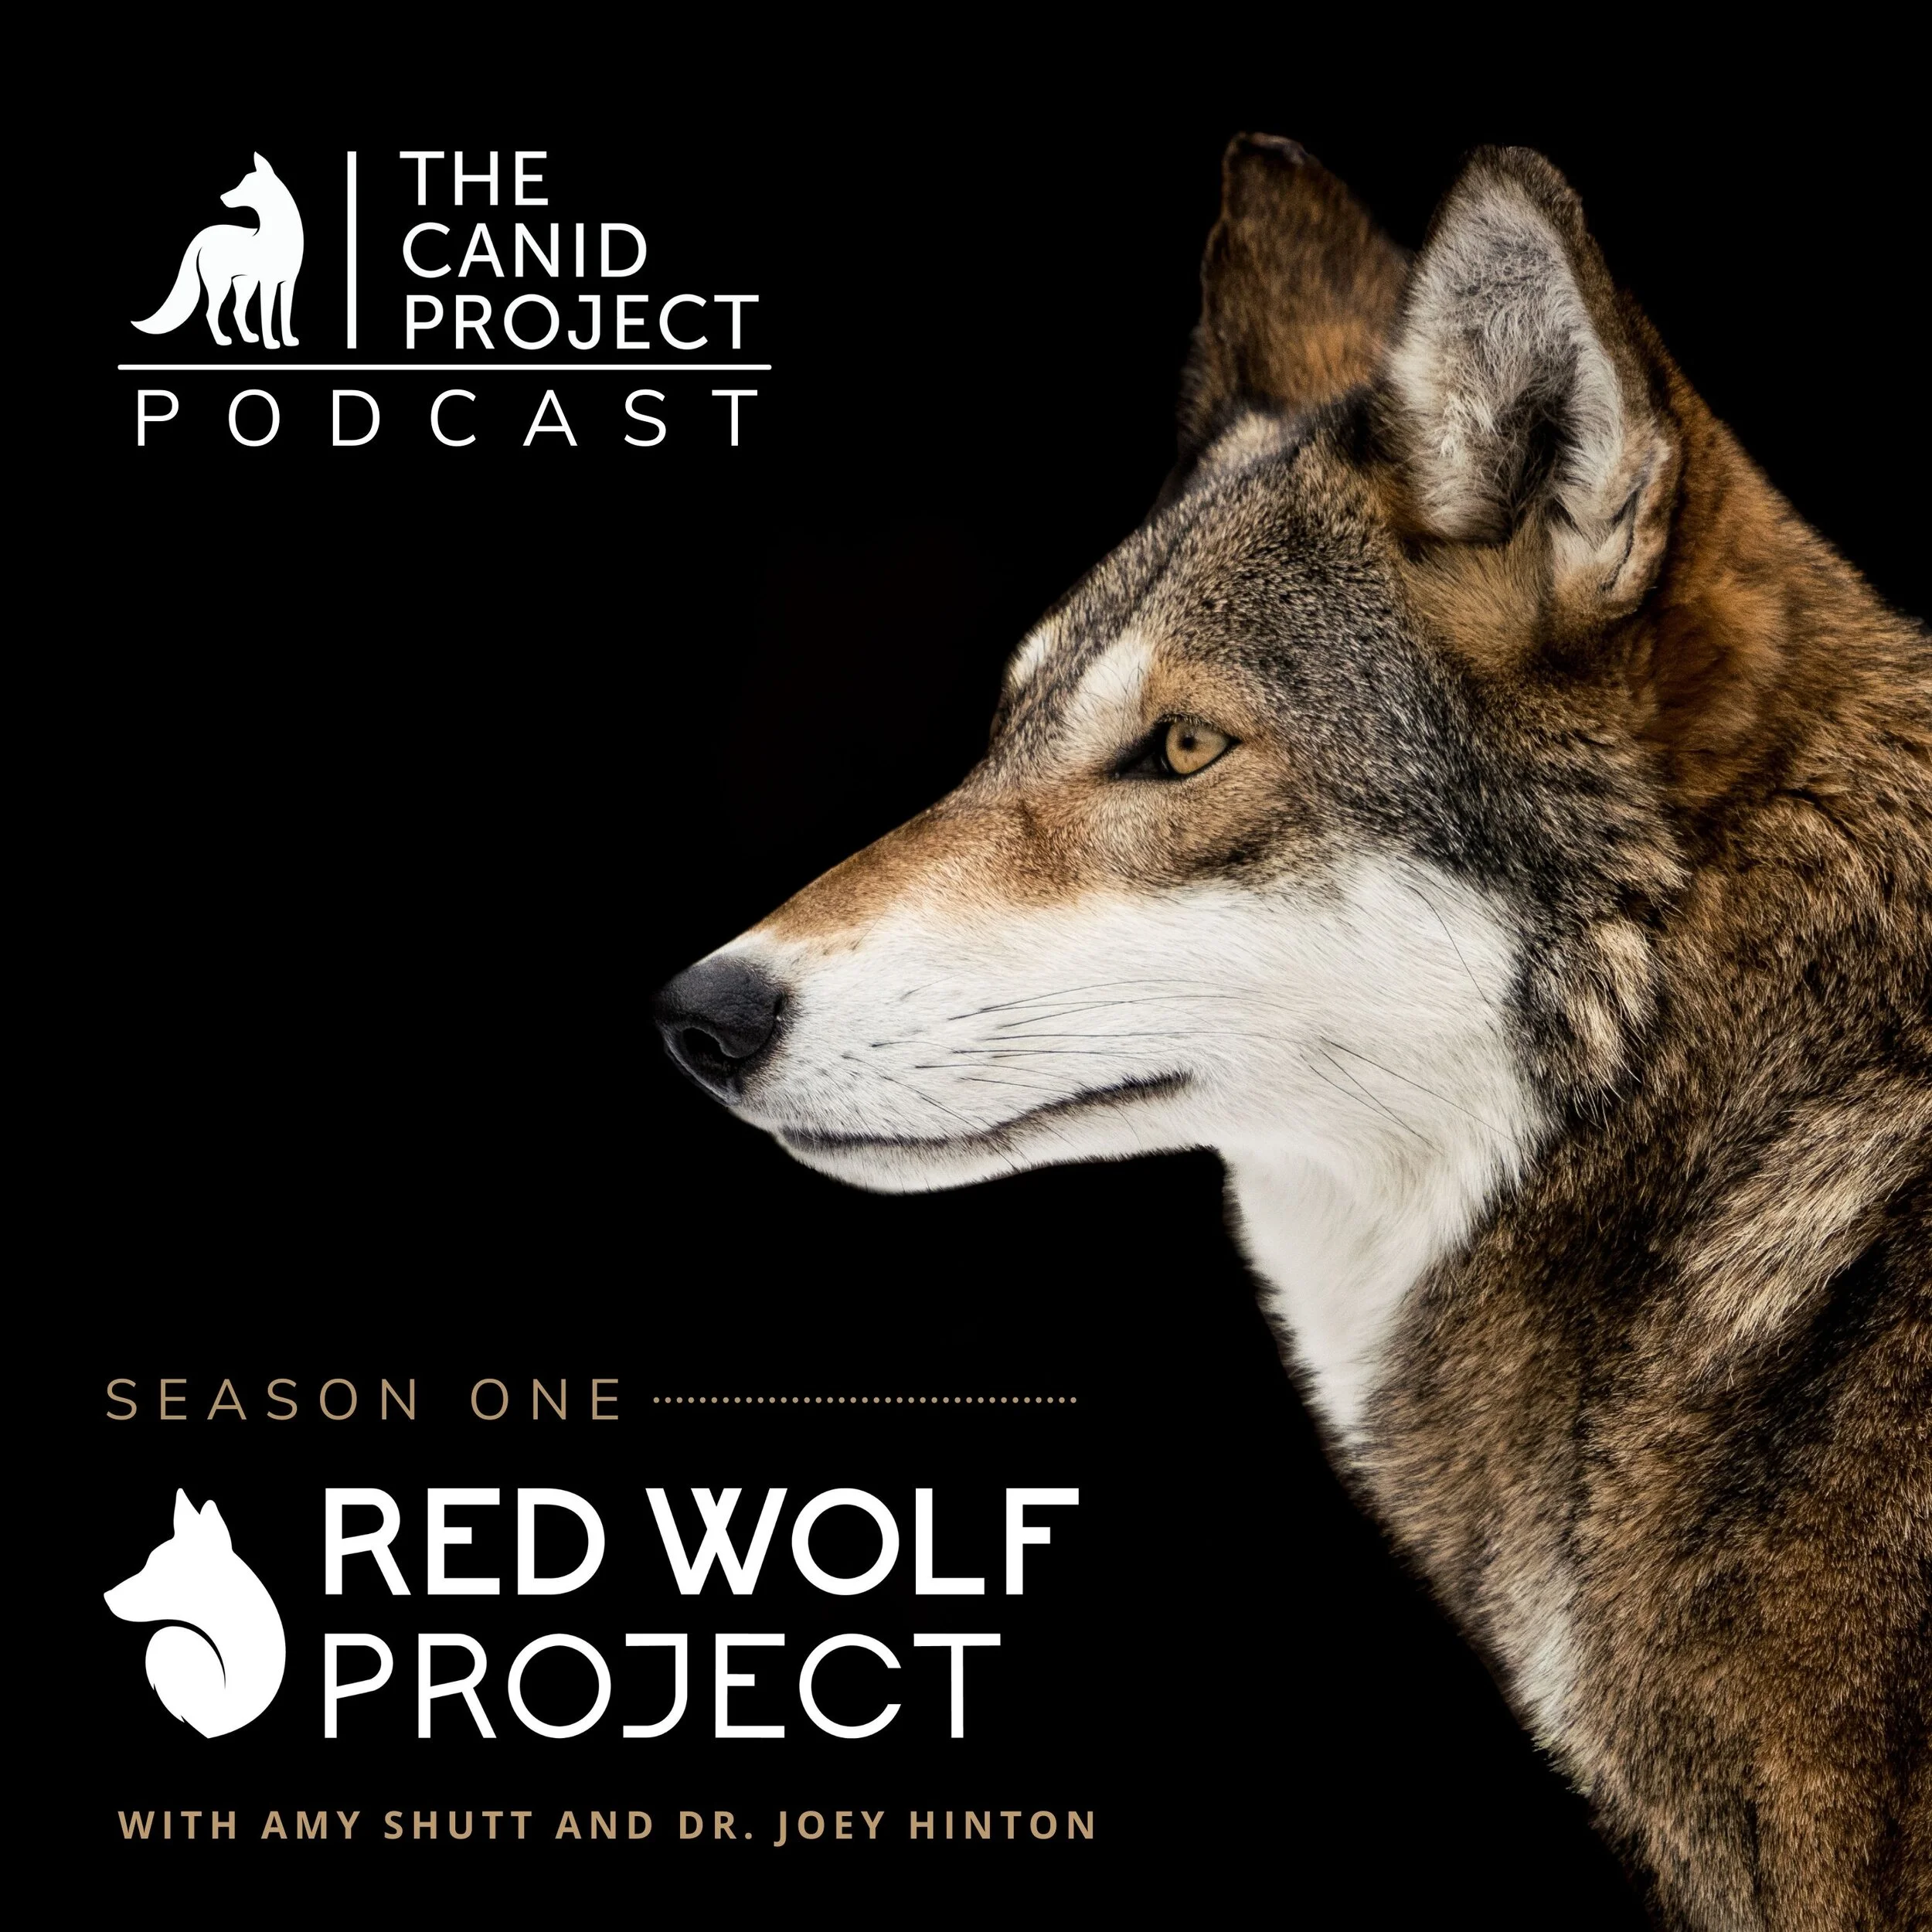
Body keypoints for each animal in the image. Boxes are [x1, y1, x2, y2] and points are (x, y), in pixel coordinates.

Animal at [131, 152, 303, 349]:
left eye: (245, 185)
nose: (222, 197)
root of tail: (204, 236)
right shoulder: (268, 283)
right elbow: (266, 316)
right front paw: (271, 343)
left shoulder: (289, 283)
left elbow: (285, 316)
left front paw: (289, 340)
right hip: (221, 285)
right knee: (211, 312)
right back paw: (222, 340)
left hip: (245, 283)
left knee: (237, 311)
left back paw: (248, 337)